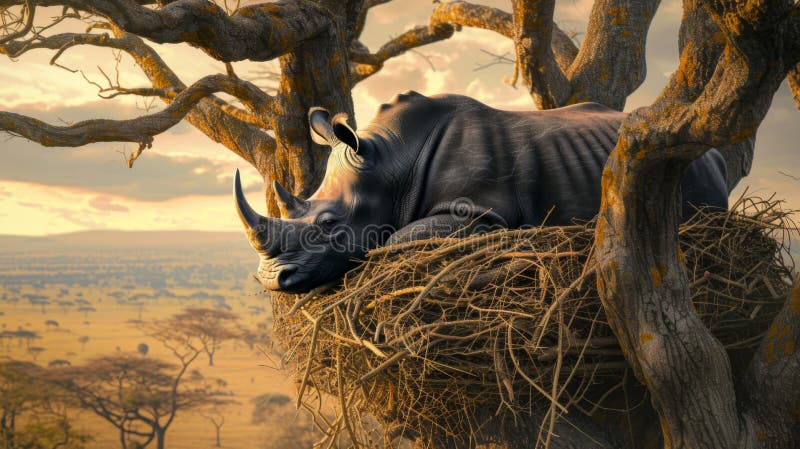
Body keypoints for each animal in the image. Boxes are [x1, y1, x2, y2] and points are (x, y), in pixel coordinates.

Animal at [235, 91, 728, 293]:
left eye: (330, 225)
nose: (271, 280)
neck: (390, 163)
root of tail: (714, 156)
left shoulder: (479, 212)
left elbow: (394, 239)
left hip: (681, 165)